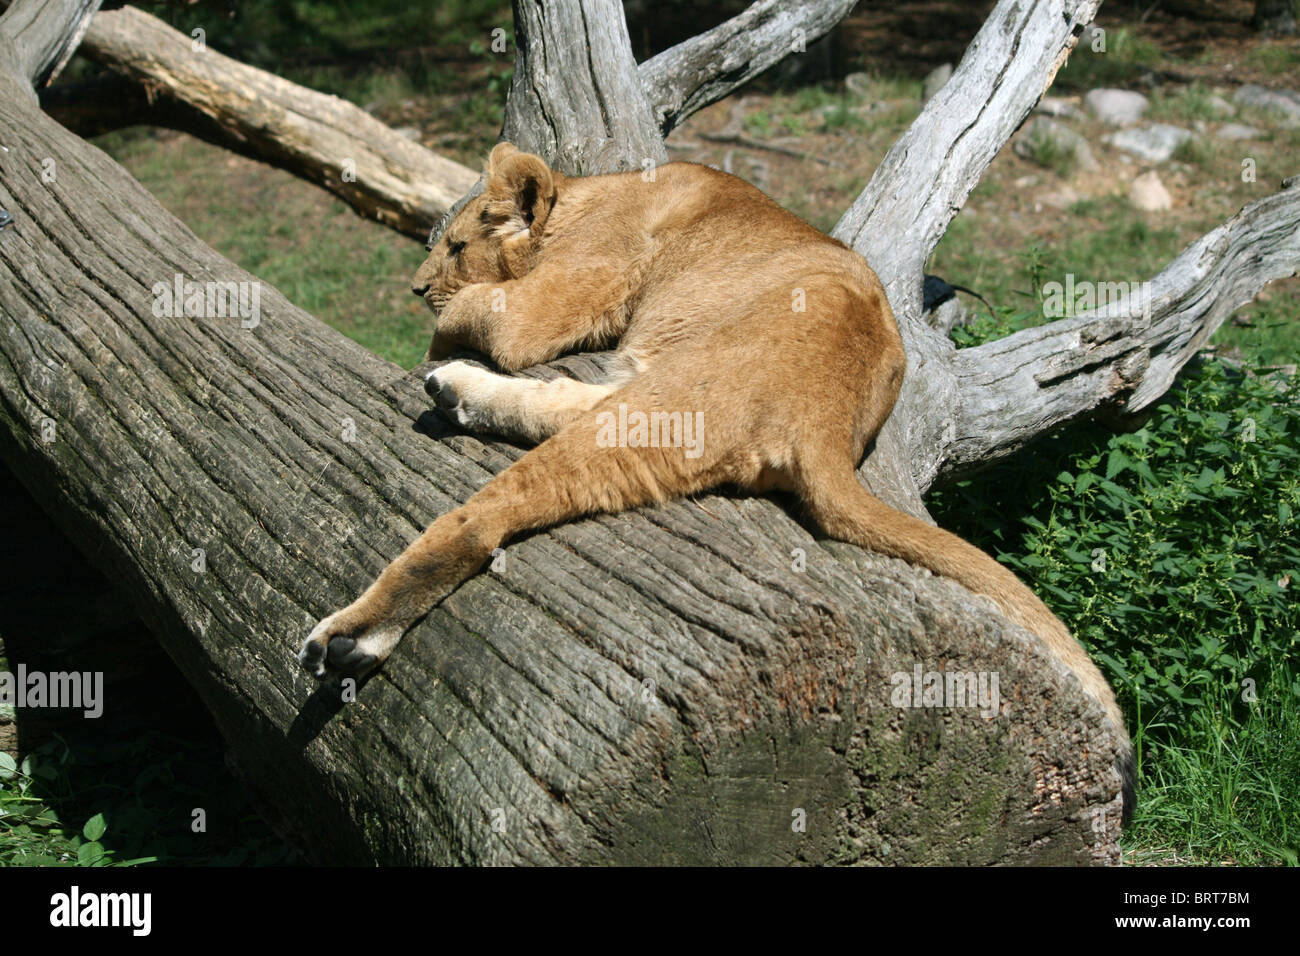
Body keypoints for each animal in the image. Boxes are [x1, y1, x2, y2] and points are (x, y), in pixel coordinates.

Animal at [300, 142, 1134, 819]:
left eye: (454, 245)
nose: (414, 288)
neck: (587, 196)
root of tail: (827, 423)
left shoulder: (551, 303)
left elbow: (477, 314)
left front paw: (436, 332)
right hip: (654, 394)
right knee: (571, 406)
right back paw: (459, 394)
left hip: (658, 395)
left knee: (486, 513)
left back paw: (354, 633)